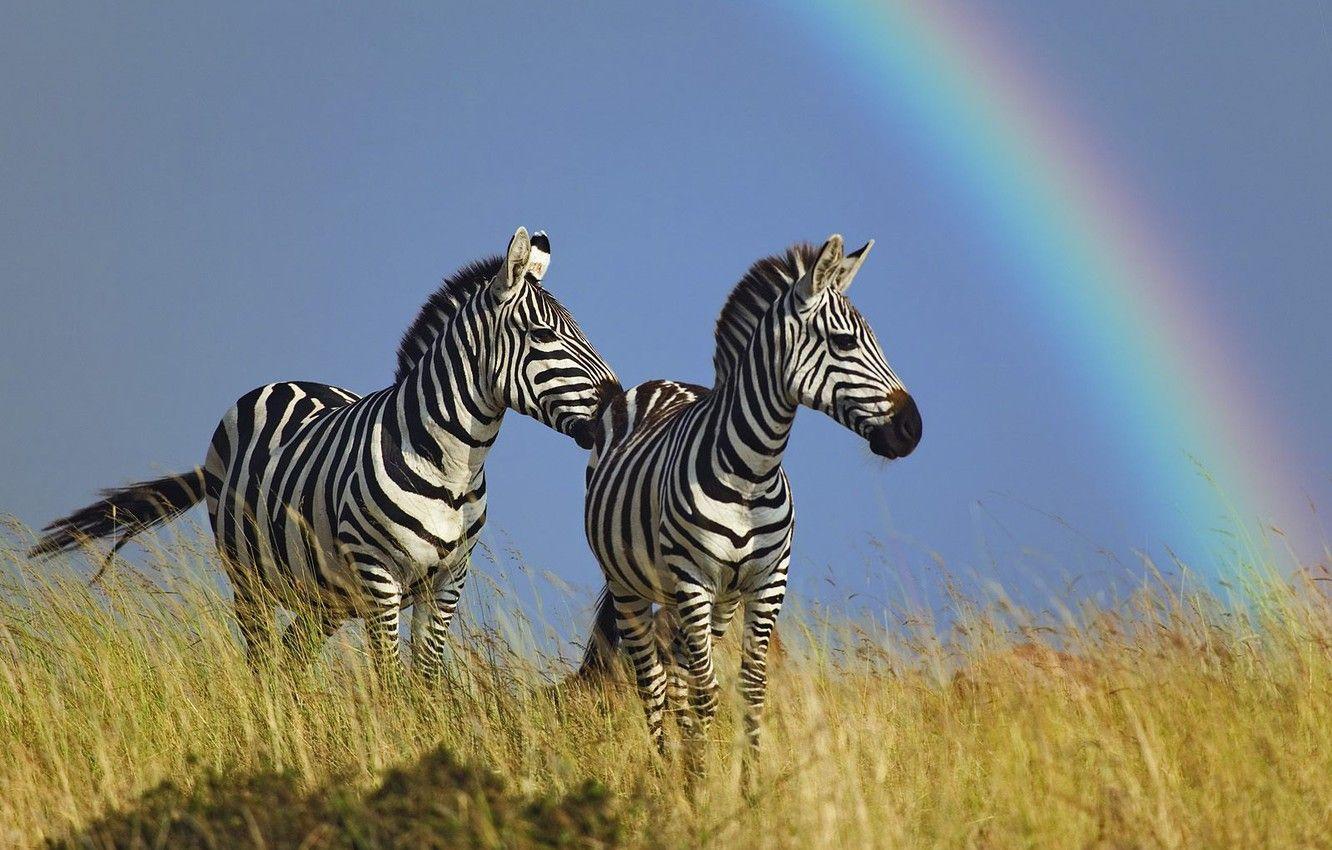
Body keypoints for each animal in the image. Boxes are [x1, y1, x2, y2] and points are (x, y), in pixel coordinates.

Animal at [31, 227, 621, 678]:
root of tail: (287, 381)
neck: (454, 463)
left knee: (292, 659)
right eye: (542, 334)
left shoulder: (447, 582)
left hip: (324, 593)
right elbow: (390, 683)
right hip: (247, 575)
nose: (617, 401)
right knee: (262, 660)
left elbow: (426, 683)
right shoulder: (380, 576)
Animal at [576, 234, 921, 781]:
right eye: (845, 343)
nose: (914, 428)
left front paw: (748, 783)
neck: (751, 473)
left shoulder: (766, 582)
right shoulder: (693, 579)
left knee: (678, 678)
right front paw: (701, 785)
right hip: (631, 586)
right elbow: (705, 691)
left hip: (714, 601)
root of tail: (660, 383)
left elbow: (749, 688)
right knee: (654, 681)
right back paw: (668, 772)